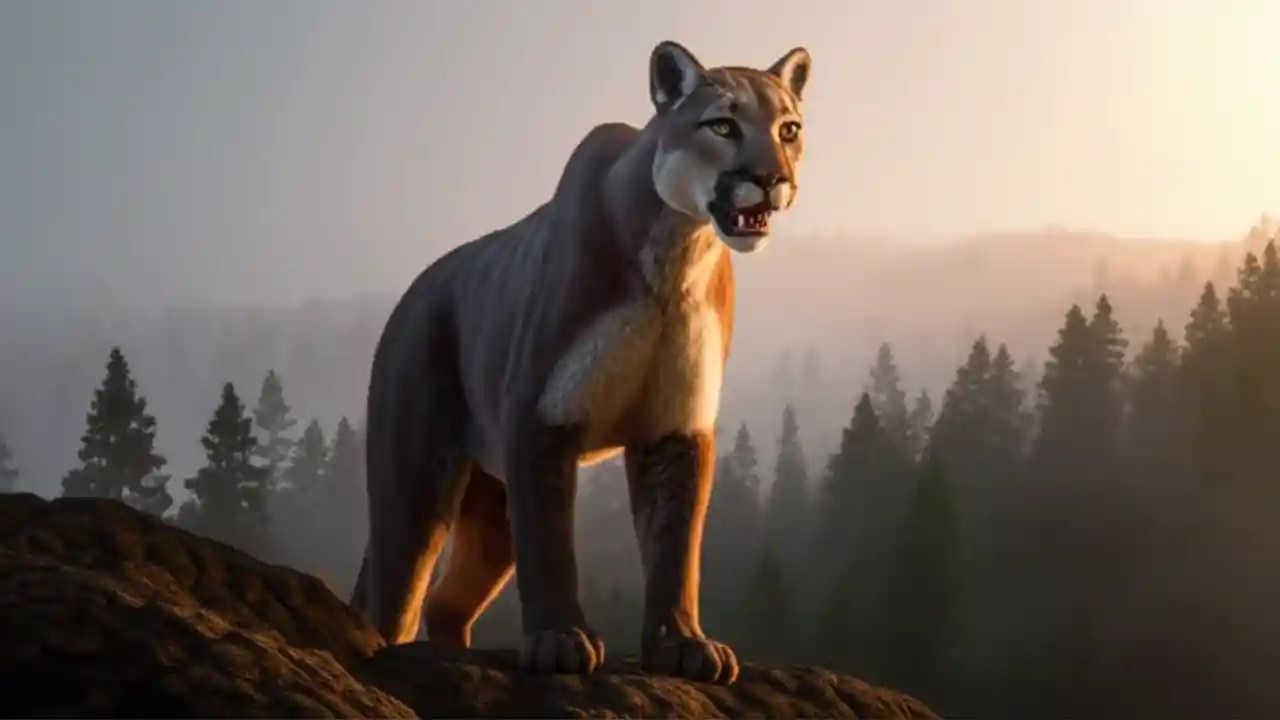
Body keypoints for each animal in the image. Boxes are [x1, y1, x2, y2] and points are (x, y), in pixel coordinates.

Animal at [351, 40, 811, 685]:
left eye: (789, 129)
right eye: (723, 124)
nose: (771, 180)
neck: (676, 251)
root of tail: (415, 291)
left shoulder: (675, 425)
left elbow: (676, 544)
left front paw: (684, 644)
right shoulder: (540, 417)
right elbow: (550, 542)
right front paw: (559, 640)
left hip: (493, 501)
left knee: (446, 601)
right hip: (417, 476)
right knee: (394, 596)